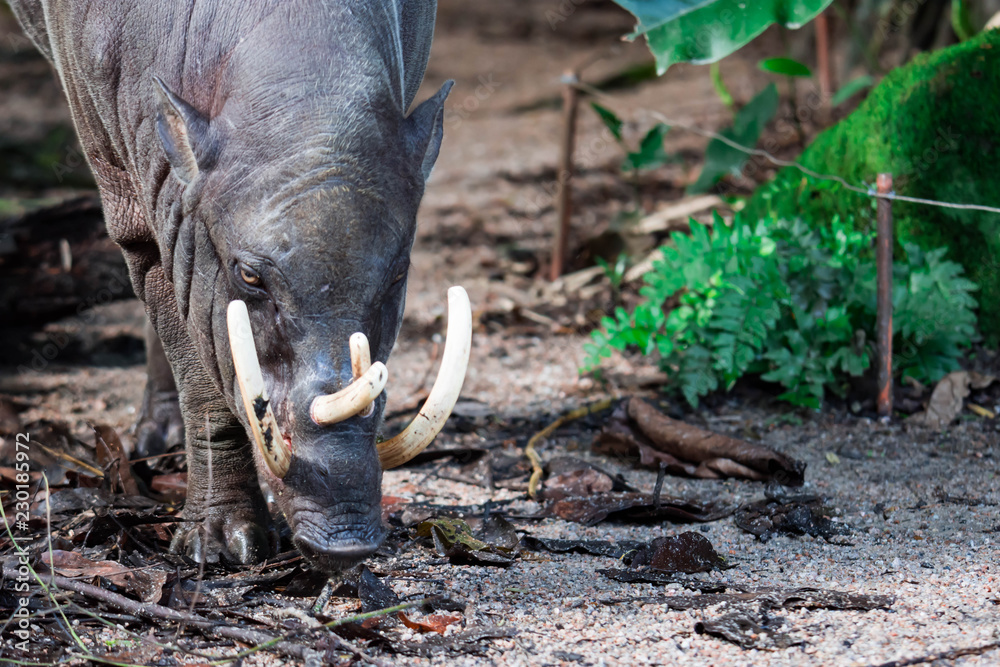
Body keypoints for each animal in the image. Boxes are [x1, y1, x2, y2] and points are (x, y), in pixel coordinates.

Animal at [8, 0, 471, 574]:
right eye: (249, 276)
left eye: (399, 275)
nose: (344, 540)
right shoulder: (133, 186)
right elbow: (200, 375)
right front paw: (220, 540)